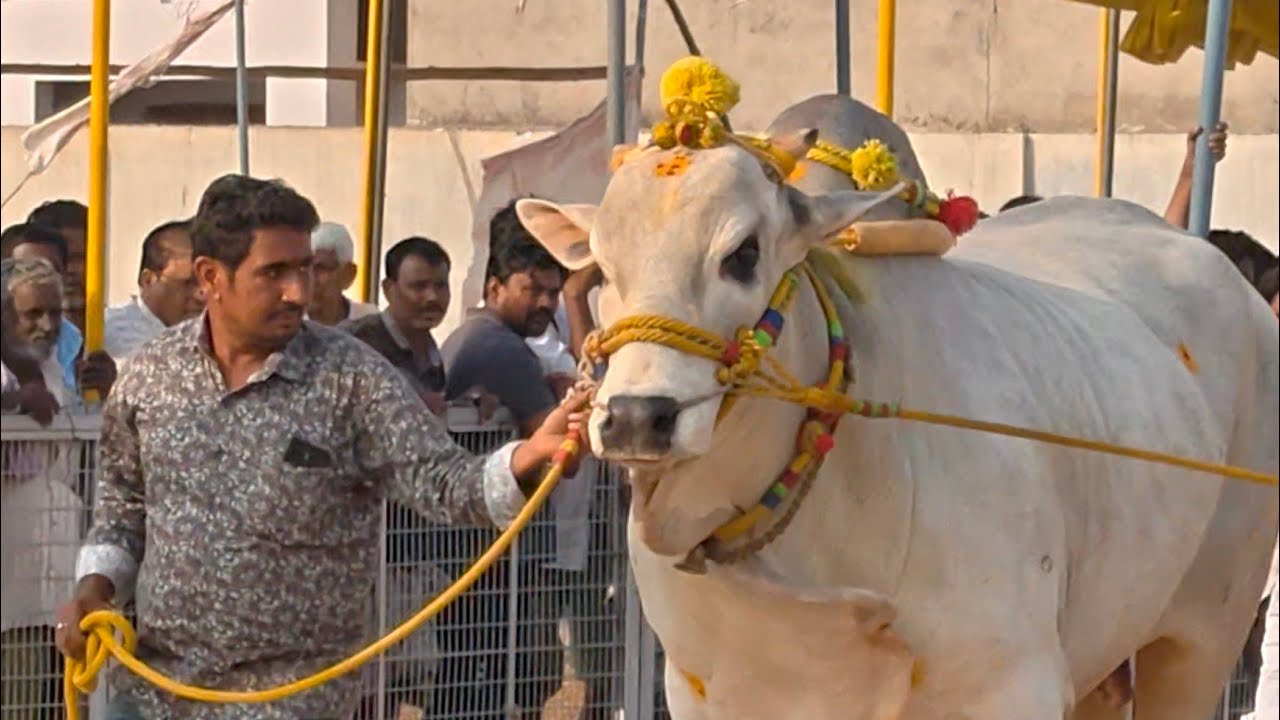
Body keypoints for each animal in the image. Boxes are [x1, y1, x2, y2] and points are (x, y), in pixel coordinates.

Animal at [515, 114, 1278, 719]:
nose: (636, 417)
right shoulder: (707, 693)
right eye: (600, 269)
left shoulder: (1012, 687)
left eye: (743, 254)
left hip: (1207, 629)